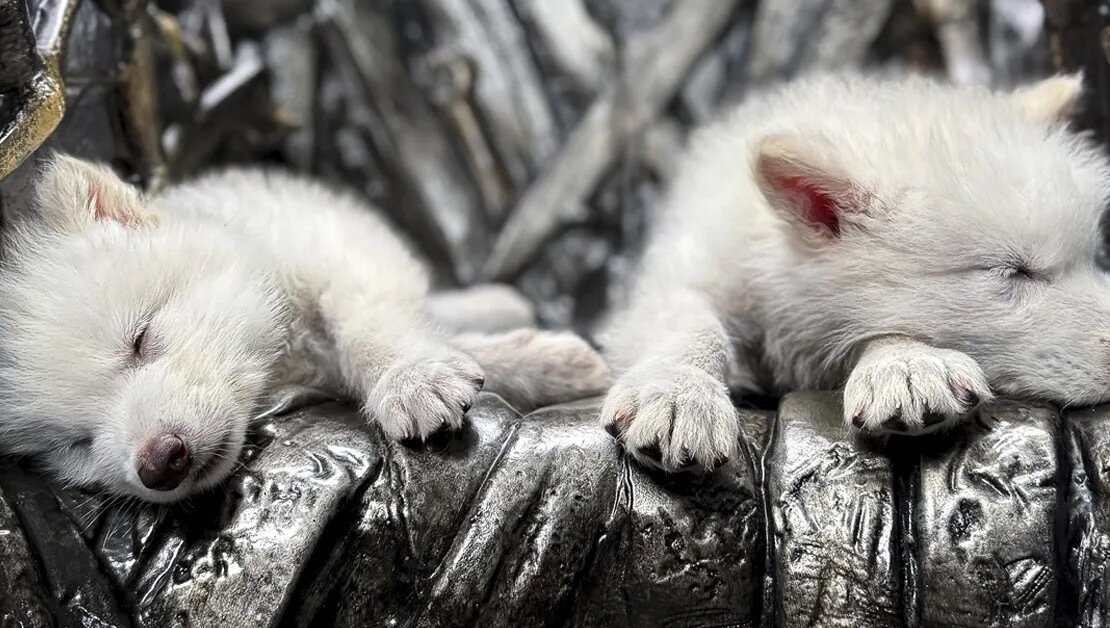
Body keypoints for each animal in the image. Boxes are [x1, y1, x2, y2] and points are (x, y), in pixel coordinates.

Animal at [0, 157, 611, 503]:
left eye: (141, 339)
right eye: (78, 445)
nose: (158, 463)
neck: (282, 358)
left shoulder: (340, 253)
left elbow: (368, 325)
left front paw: (411, 379)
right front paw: (547, 364)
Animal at [600, 72, 1110, 471]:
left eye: (1091, 259)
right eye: (1013, 271)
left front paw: (904, 362)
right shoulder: (687, 270)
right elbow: (690, 322)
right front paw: (677, 391)